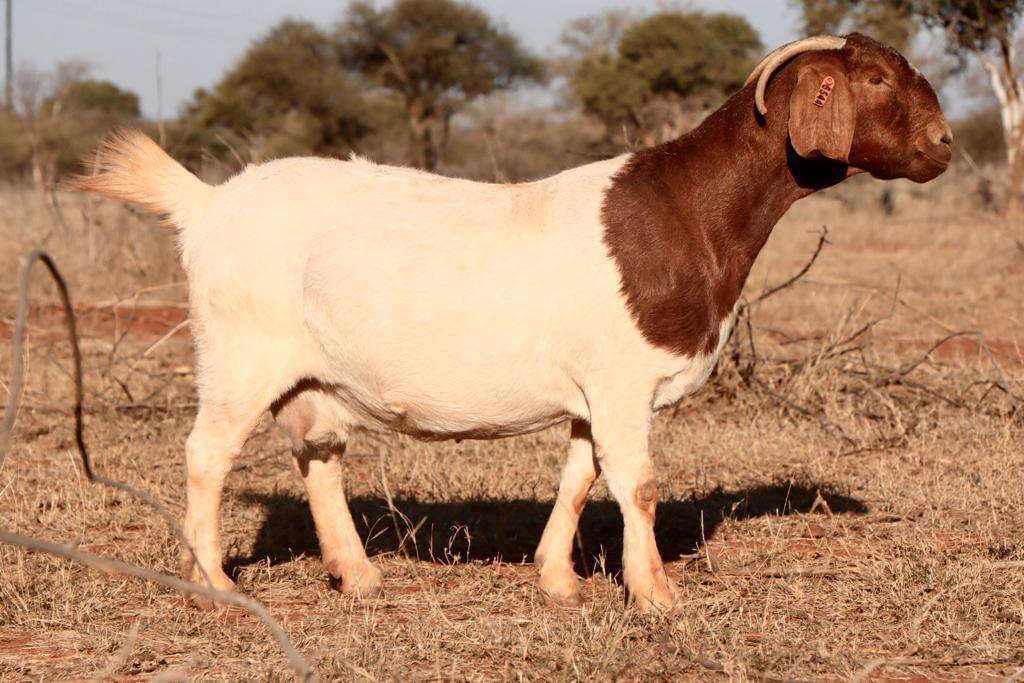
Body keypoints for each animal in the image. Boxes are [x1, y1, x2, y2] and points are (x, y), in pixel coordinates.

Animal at [74, 34, 952, 612]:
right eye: (876, 79)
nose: (945, 144)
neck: (690, 211)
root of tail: (206, 202)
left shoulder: (594, 392)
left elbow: (579, 474)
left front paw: (558, 579)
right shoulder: (622, 382)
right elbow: (638, 483)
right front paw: (655, 593)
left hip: (309, 372)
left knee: (318, 454)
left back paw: (358, 574)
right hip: (238, 355)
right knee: (206, 454)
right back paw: (213, 580)